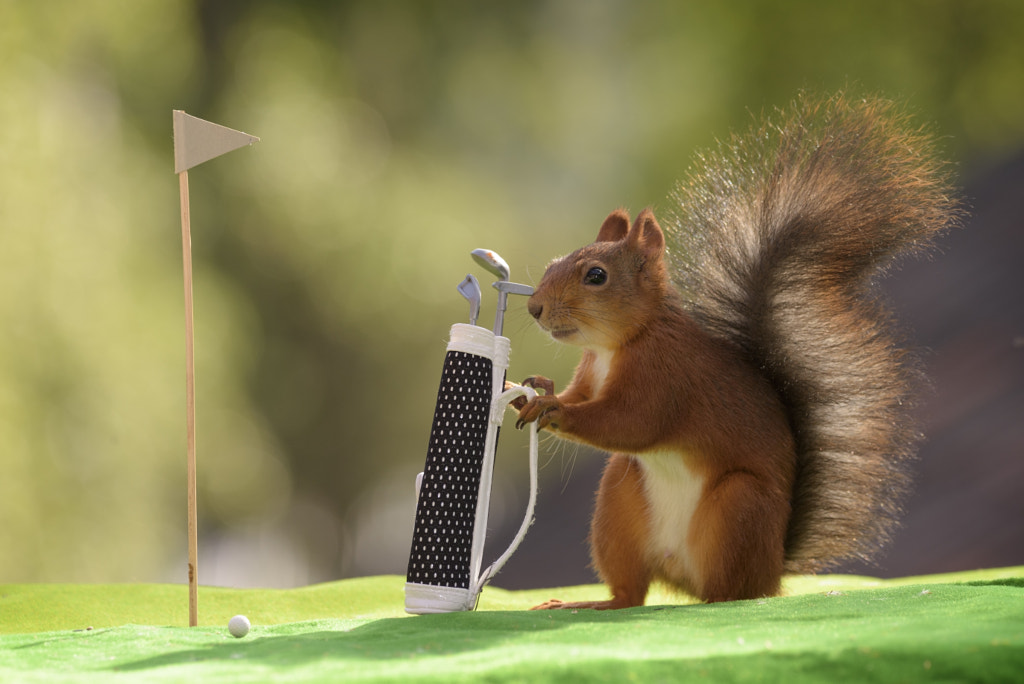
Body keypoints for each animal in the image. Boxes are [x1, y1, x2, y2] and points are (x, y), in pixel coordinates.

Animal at [513, 93, 962, 609]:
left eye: (596, 276)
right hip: (618, 503)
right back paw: (592, 601)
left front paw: (554, 410)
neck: (616, 345)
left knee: (729, 593)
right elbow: (583, 398)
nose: (534, 308)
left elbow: (630, 423)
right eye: (553, 262)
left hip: (737, 509)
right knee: (632, 592)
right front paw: (539, 388)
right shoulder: (591, 372)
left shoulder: (665, 375)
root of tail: (774, 564)